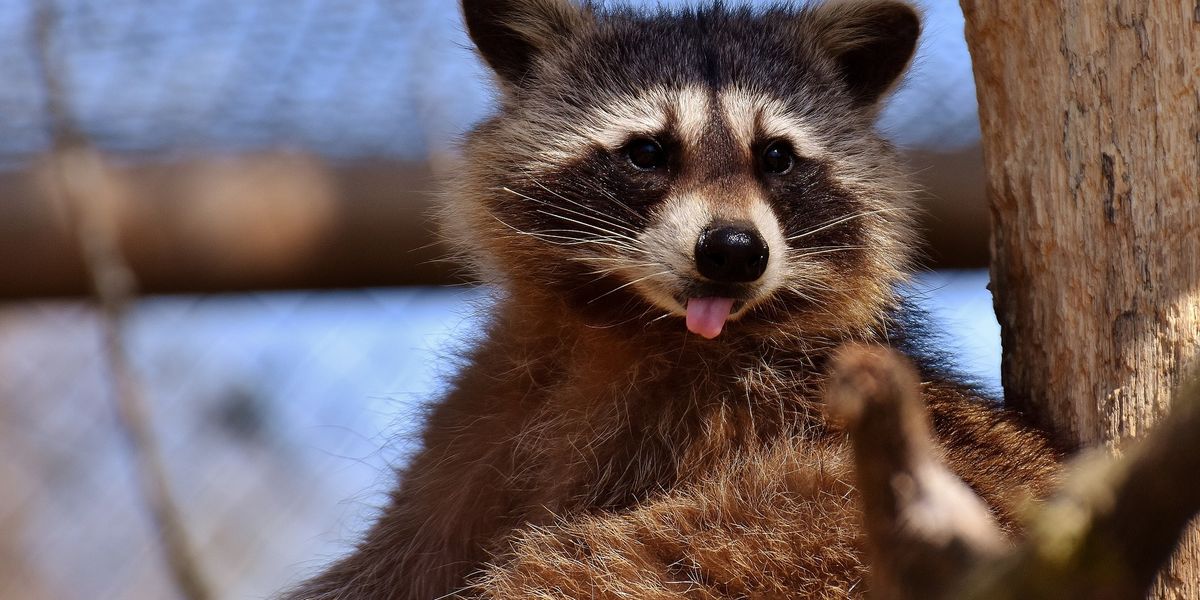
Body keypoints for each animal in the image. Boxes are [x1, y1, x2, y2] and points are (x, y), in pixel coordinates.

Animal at [285, 1, 1061, 598]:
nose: (734, 250)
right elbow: (398, 555)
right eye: (649, 152)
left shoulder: (763, 431)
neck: (633, 324)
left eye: (776, 157)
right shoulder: (491, 410)